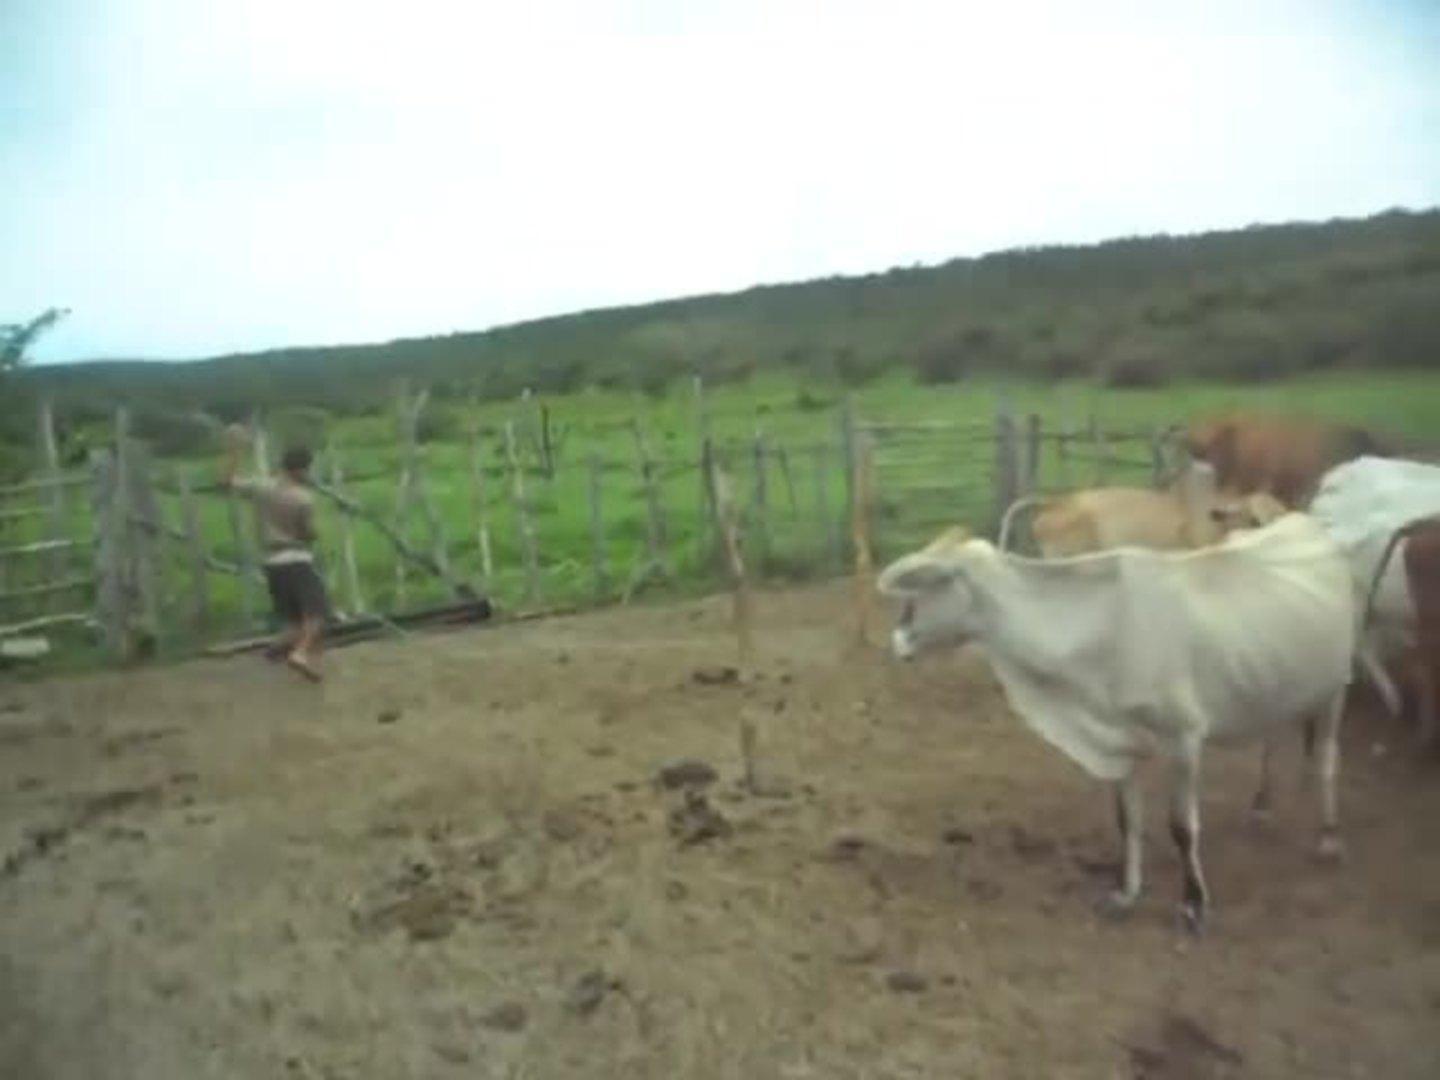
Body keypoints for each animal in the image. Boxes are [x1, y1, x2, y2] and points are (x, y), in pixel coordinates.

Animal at [877, 514, 1357, 934]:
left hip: (1335, 686)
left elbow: (1183, 827)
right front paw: (1127, 894)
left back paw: (1329, 836)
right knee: (1272, 742)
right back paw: (1262, 806)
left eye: (929, 581)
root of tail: (1306, 522)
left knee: (1327, 757)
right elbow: (1128, 822)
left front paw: (1193, 905)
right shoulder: (1119, 742)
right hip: (1277, 686)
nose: (897, 641)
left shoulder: (1184, 737)